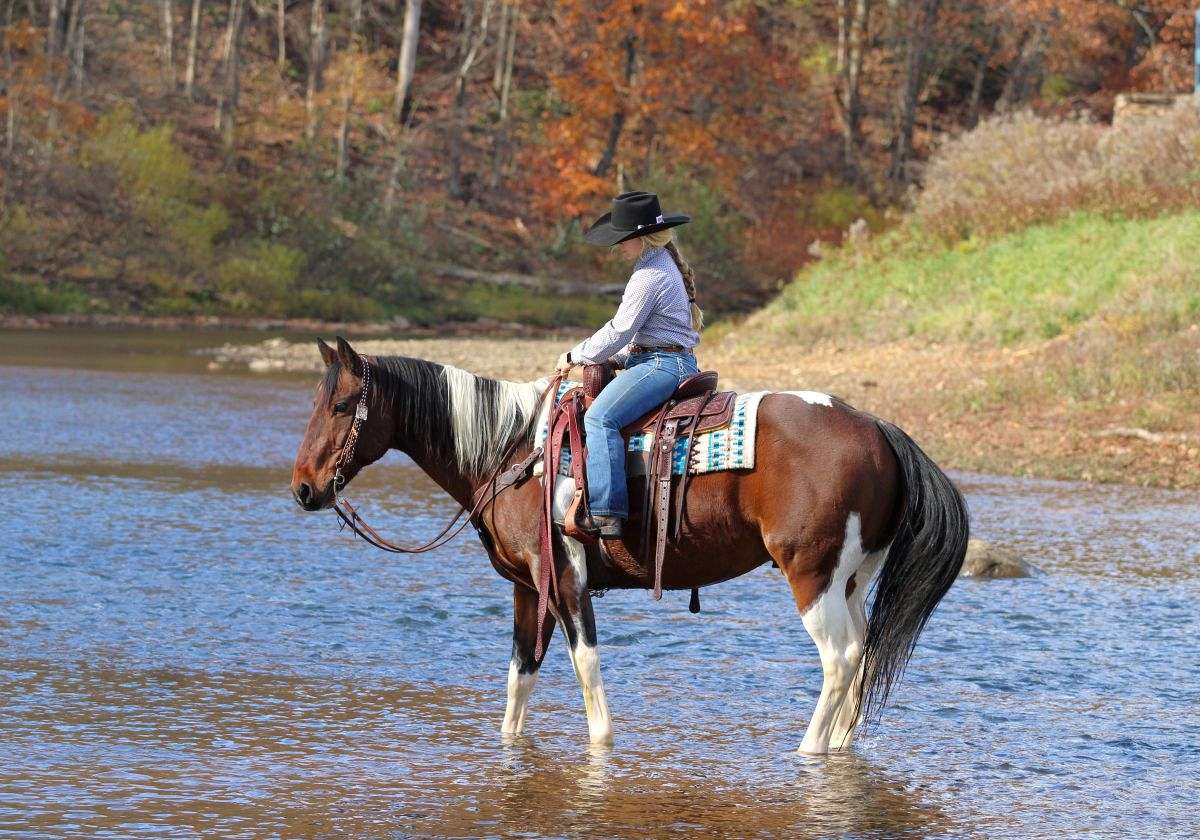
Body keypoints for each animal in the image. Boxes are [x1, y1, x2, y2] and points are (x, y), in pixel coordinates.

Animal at [290, 337, 969, 754]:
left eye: (344, 403)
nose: (303, 488)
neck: (514, 451)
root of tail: (875, 427)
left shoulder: (567, 579)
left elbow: (586, 669)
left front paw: (601, 749)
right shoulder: (527, 587)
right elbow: (519, 679)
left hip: (813, 575)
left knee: (840, 659)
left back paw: (807, 750)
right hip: (852, 579)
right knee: (865, 654)